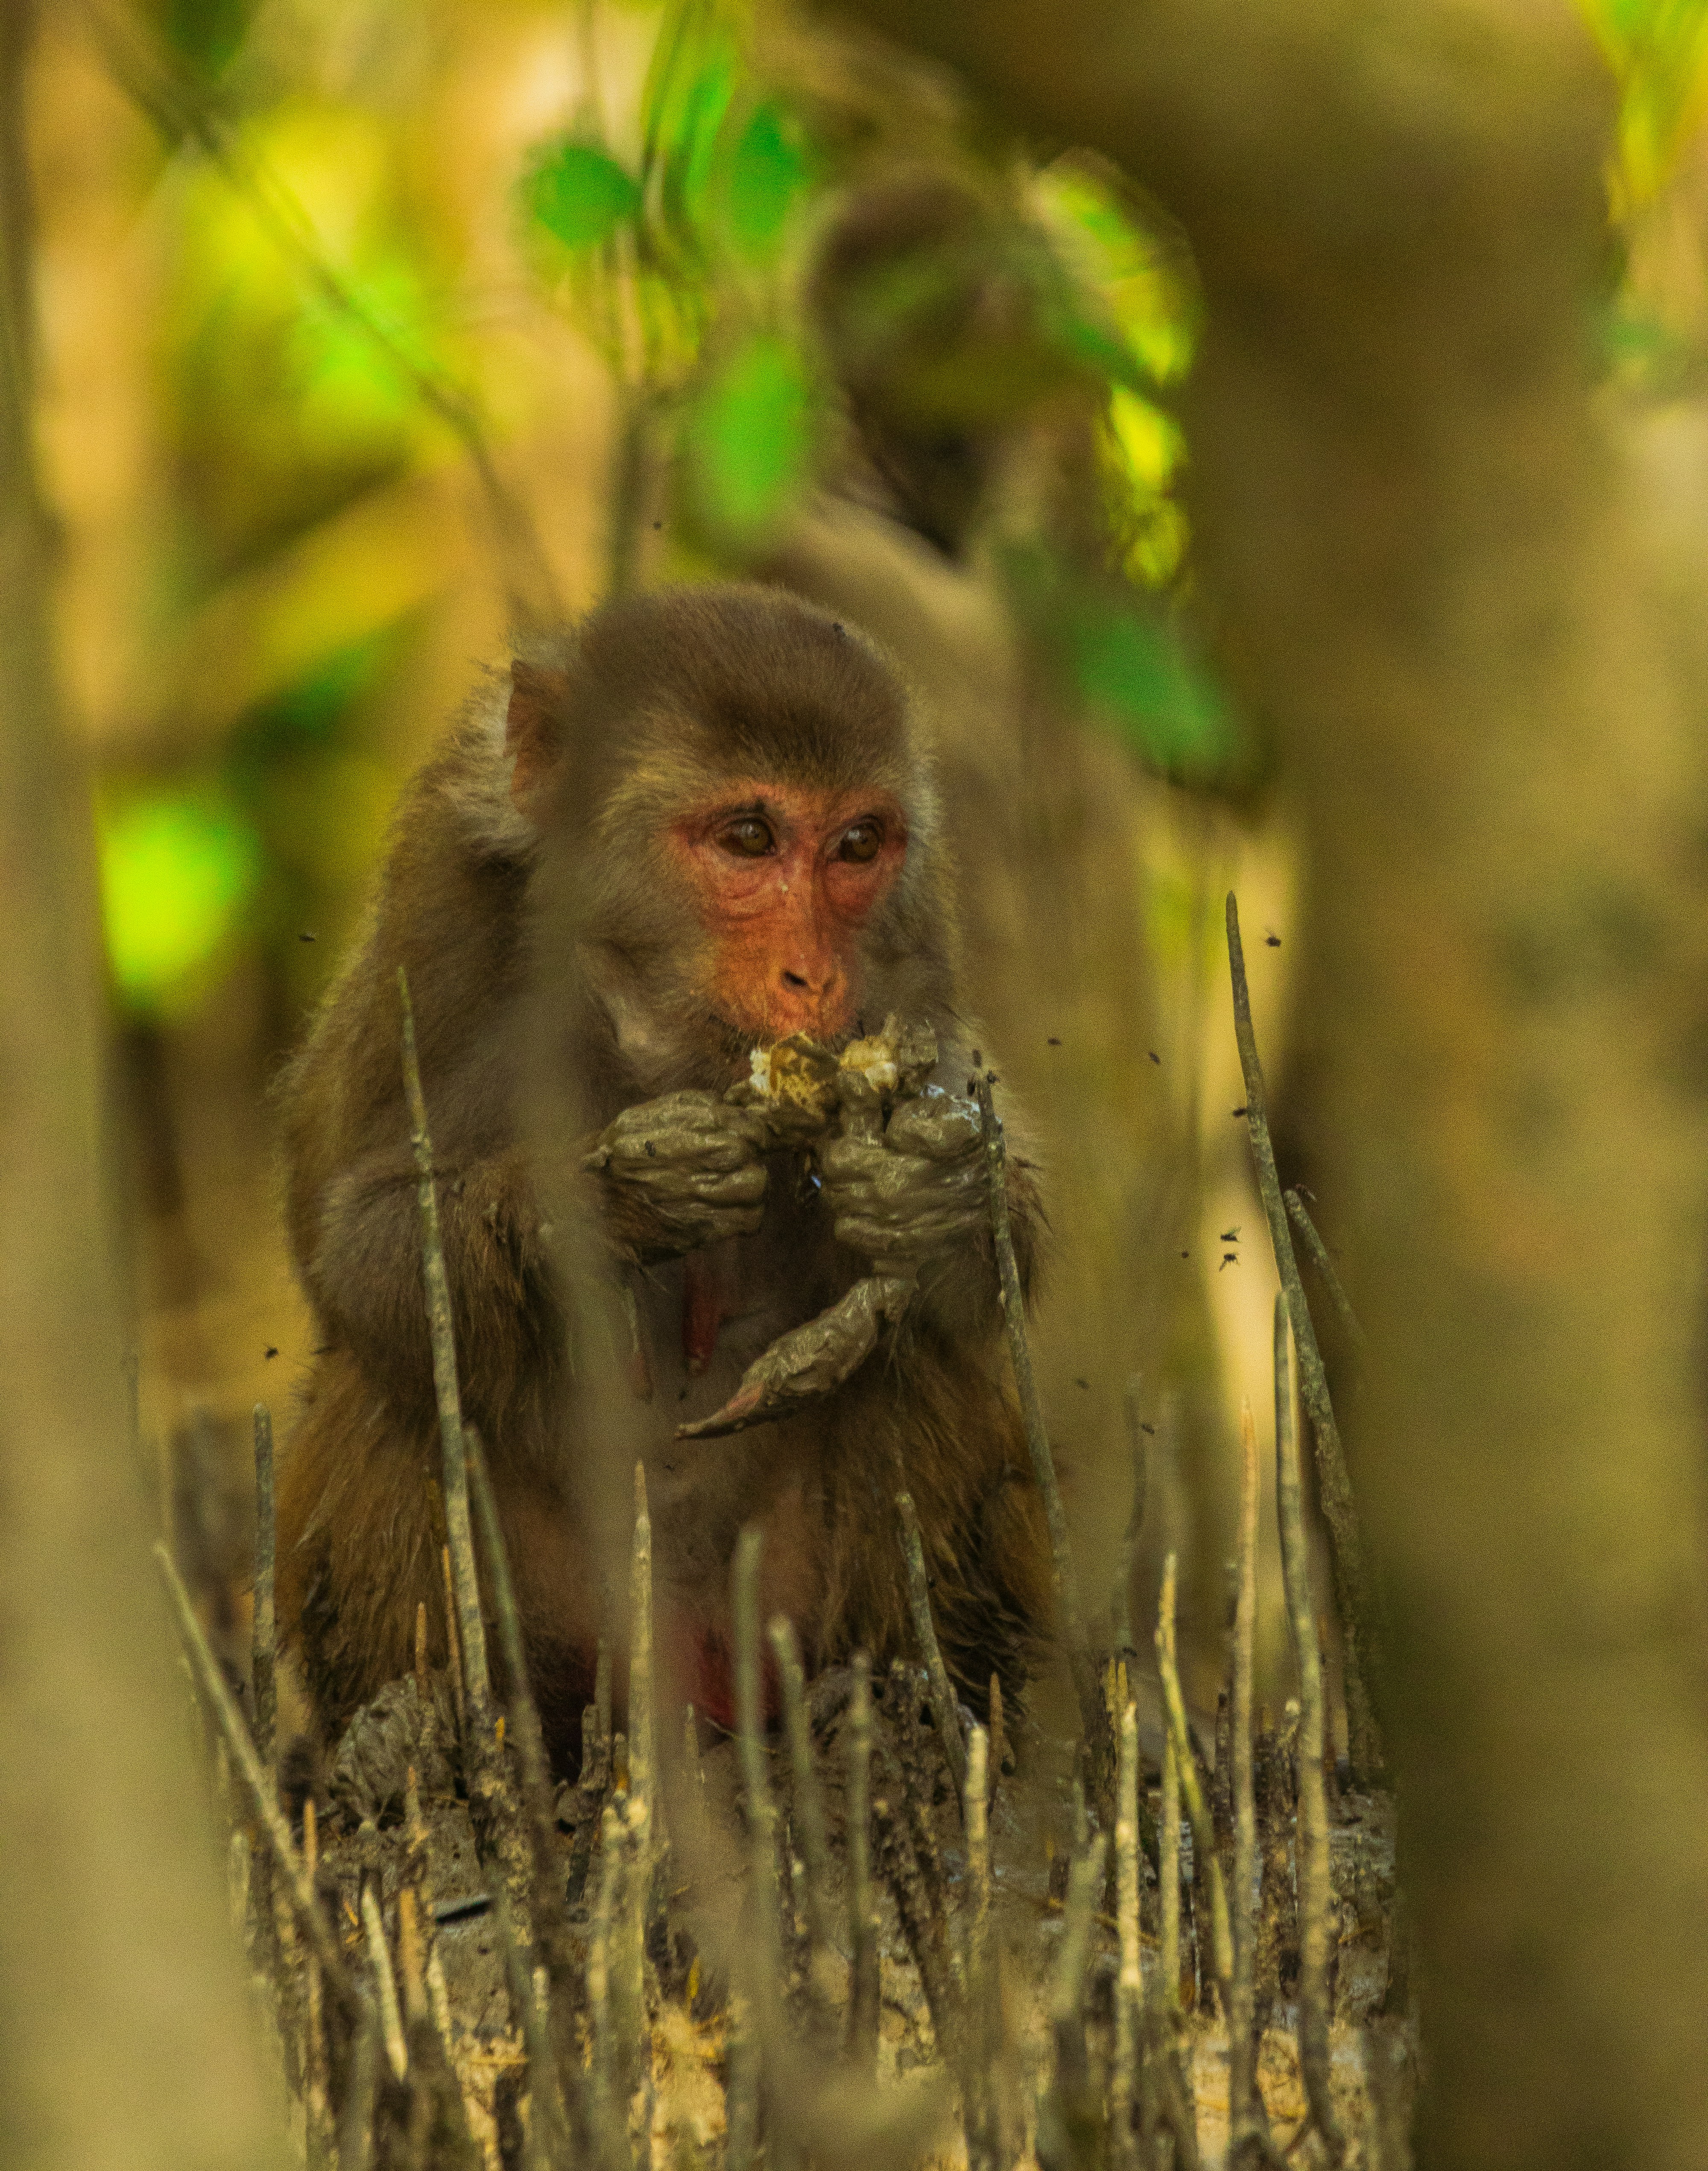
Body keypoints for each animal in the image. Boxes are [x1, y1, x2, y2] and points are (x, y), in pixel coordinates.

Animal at [273, 582, 1053, 1769]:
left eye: (856, 845)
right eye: (749, 836)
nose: (813, 975)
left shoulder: (912, 948)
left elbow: (985, 1268)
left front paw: (930, 1193)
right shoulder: (435, 920)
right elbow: (352, 1242)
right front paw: (617, 1200)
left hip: (777, 1613)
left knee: (917, 1351)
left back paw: (899, 1695)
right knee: (401, 1373)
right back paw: (431, 1727)